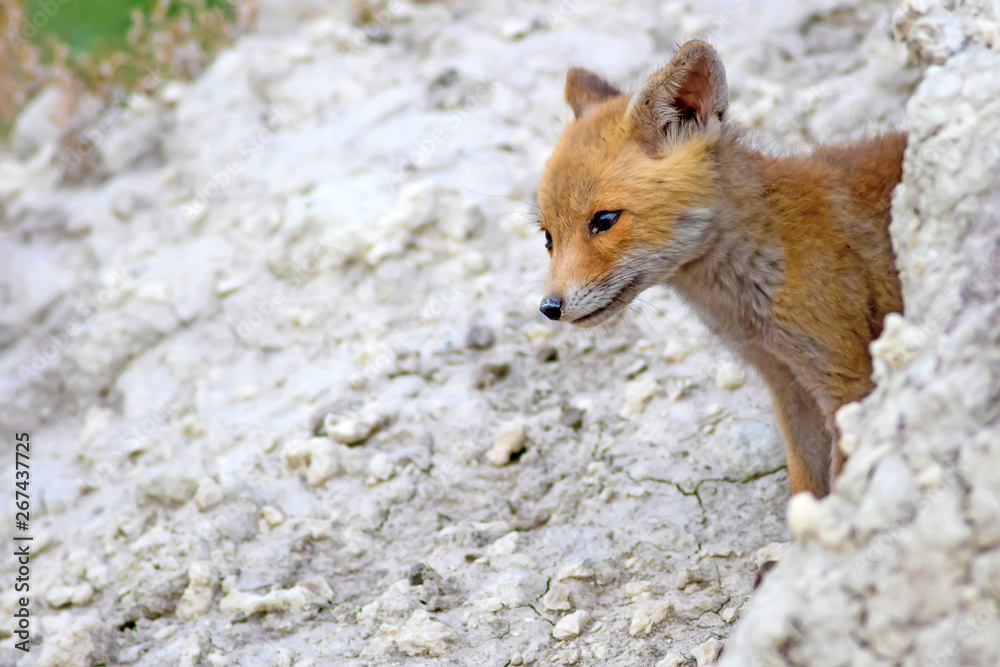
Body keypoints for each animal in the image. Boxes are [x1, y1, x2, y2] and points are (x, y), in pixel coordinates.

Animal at [536, 40, 904, 498]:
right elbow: (804, 481)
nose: (549, 308)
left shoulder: (846, 379)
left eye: (604, 220)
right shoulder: (786, 381)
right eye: (547, 238)